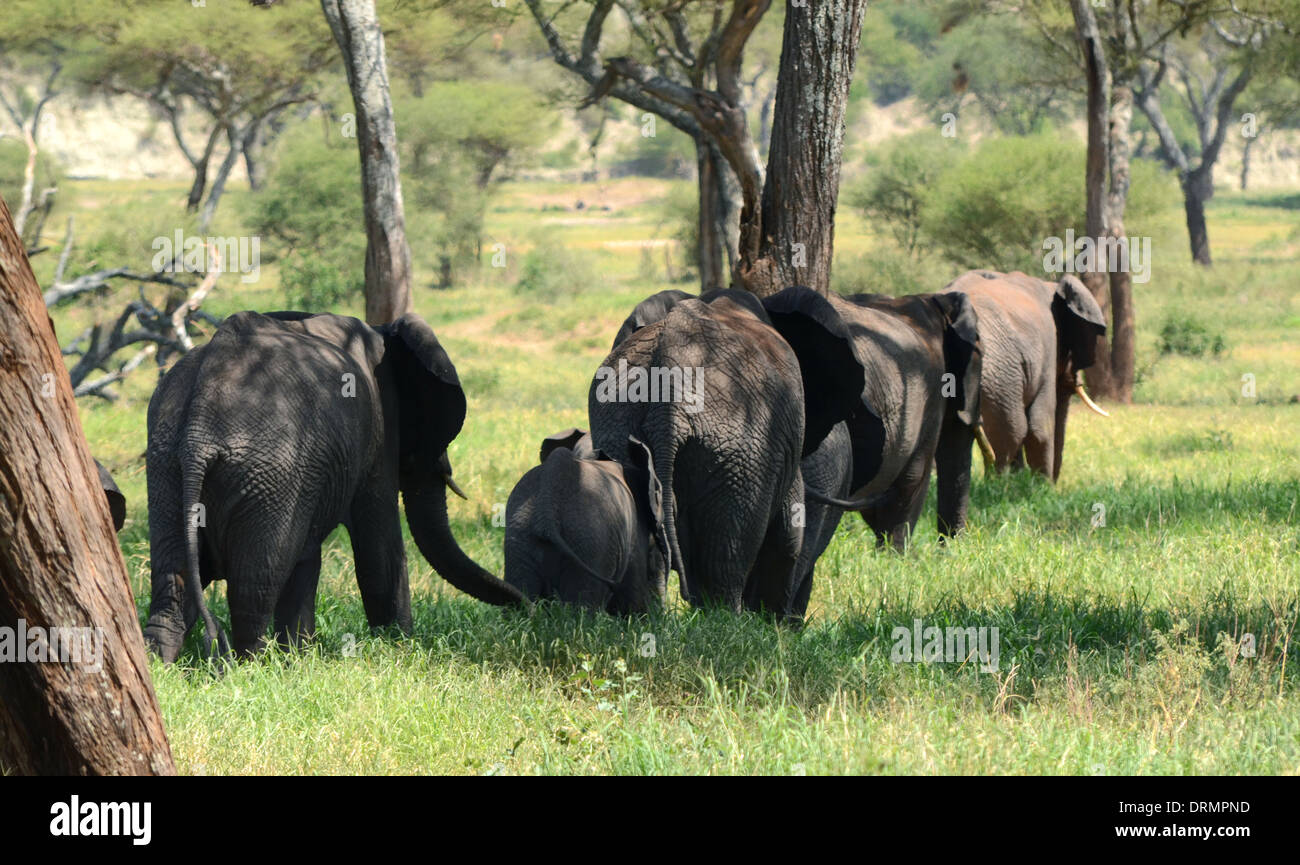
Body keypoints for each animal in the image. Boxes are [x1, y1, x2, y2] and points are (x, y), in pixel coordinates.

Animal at [143, 310, 523, 661]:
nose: (525, 608)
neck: (384, 333)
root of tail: (199, 426)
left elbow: (308, 557)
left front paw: (297, 656)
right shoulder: (379, 425)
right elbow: (379, 543)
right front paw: (399, 646)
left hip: (169, 465)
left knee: (173, 580)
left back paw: (161, 661)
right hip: (269, 468)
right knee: (254, 585)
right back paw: (250, 665)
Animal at [588, 287, 867, 617]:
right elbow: (789, 533)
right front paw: (770, 622)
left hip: (622, 428)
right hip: (741, 448)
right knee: (729, 553)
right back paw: (726, 618)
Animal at [947, 270, 1108, 481]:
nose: (1055, 484)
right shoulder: (1048, 348)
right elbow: (1041, 426)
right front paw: (1041, 487)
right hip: (999, 373)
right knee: (1012, 429)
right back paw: (997, 485)